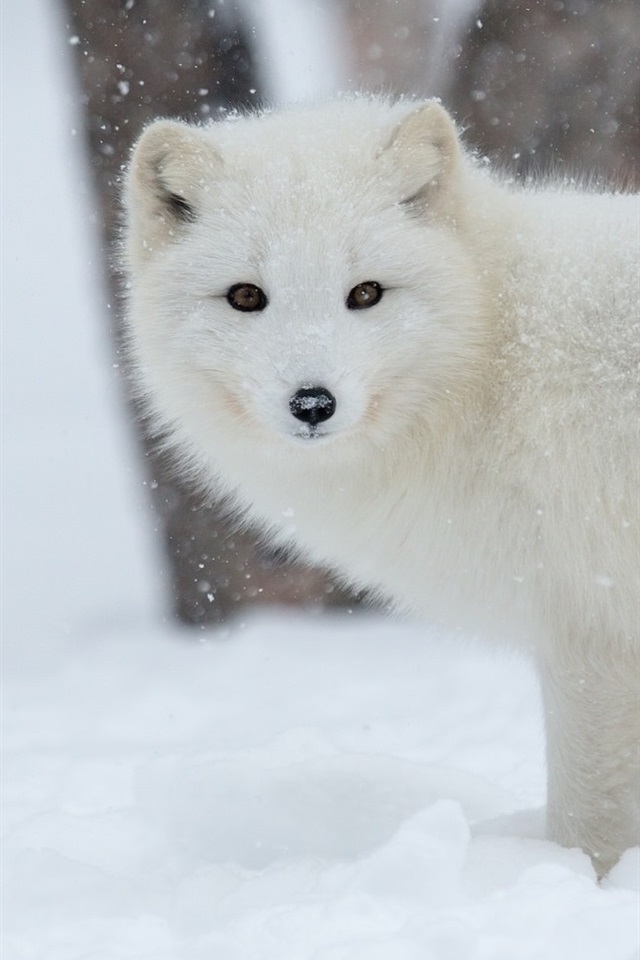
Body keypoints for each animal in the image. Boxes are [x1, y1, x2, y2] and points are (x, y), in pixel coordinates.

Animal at [124, 98, 639, 875]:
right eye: (246, 296)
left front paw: (580, 883)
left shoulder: (594, 640)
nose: (312, 403)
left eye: (364, 293)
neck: (494, 355)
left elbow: (590, 829)